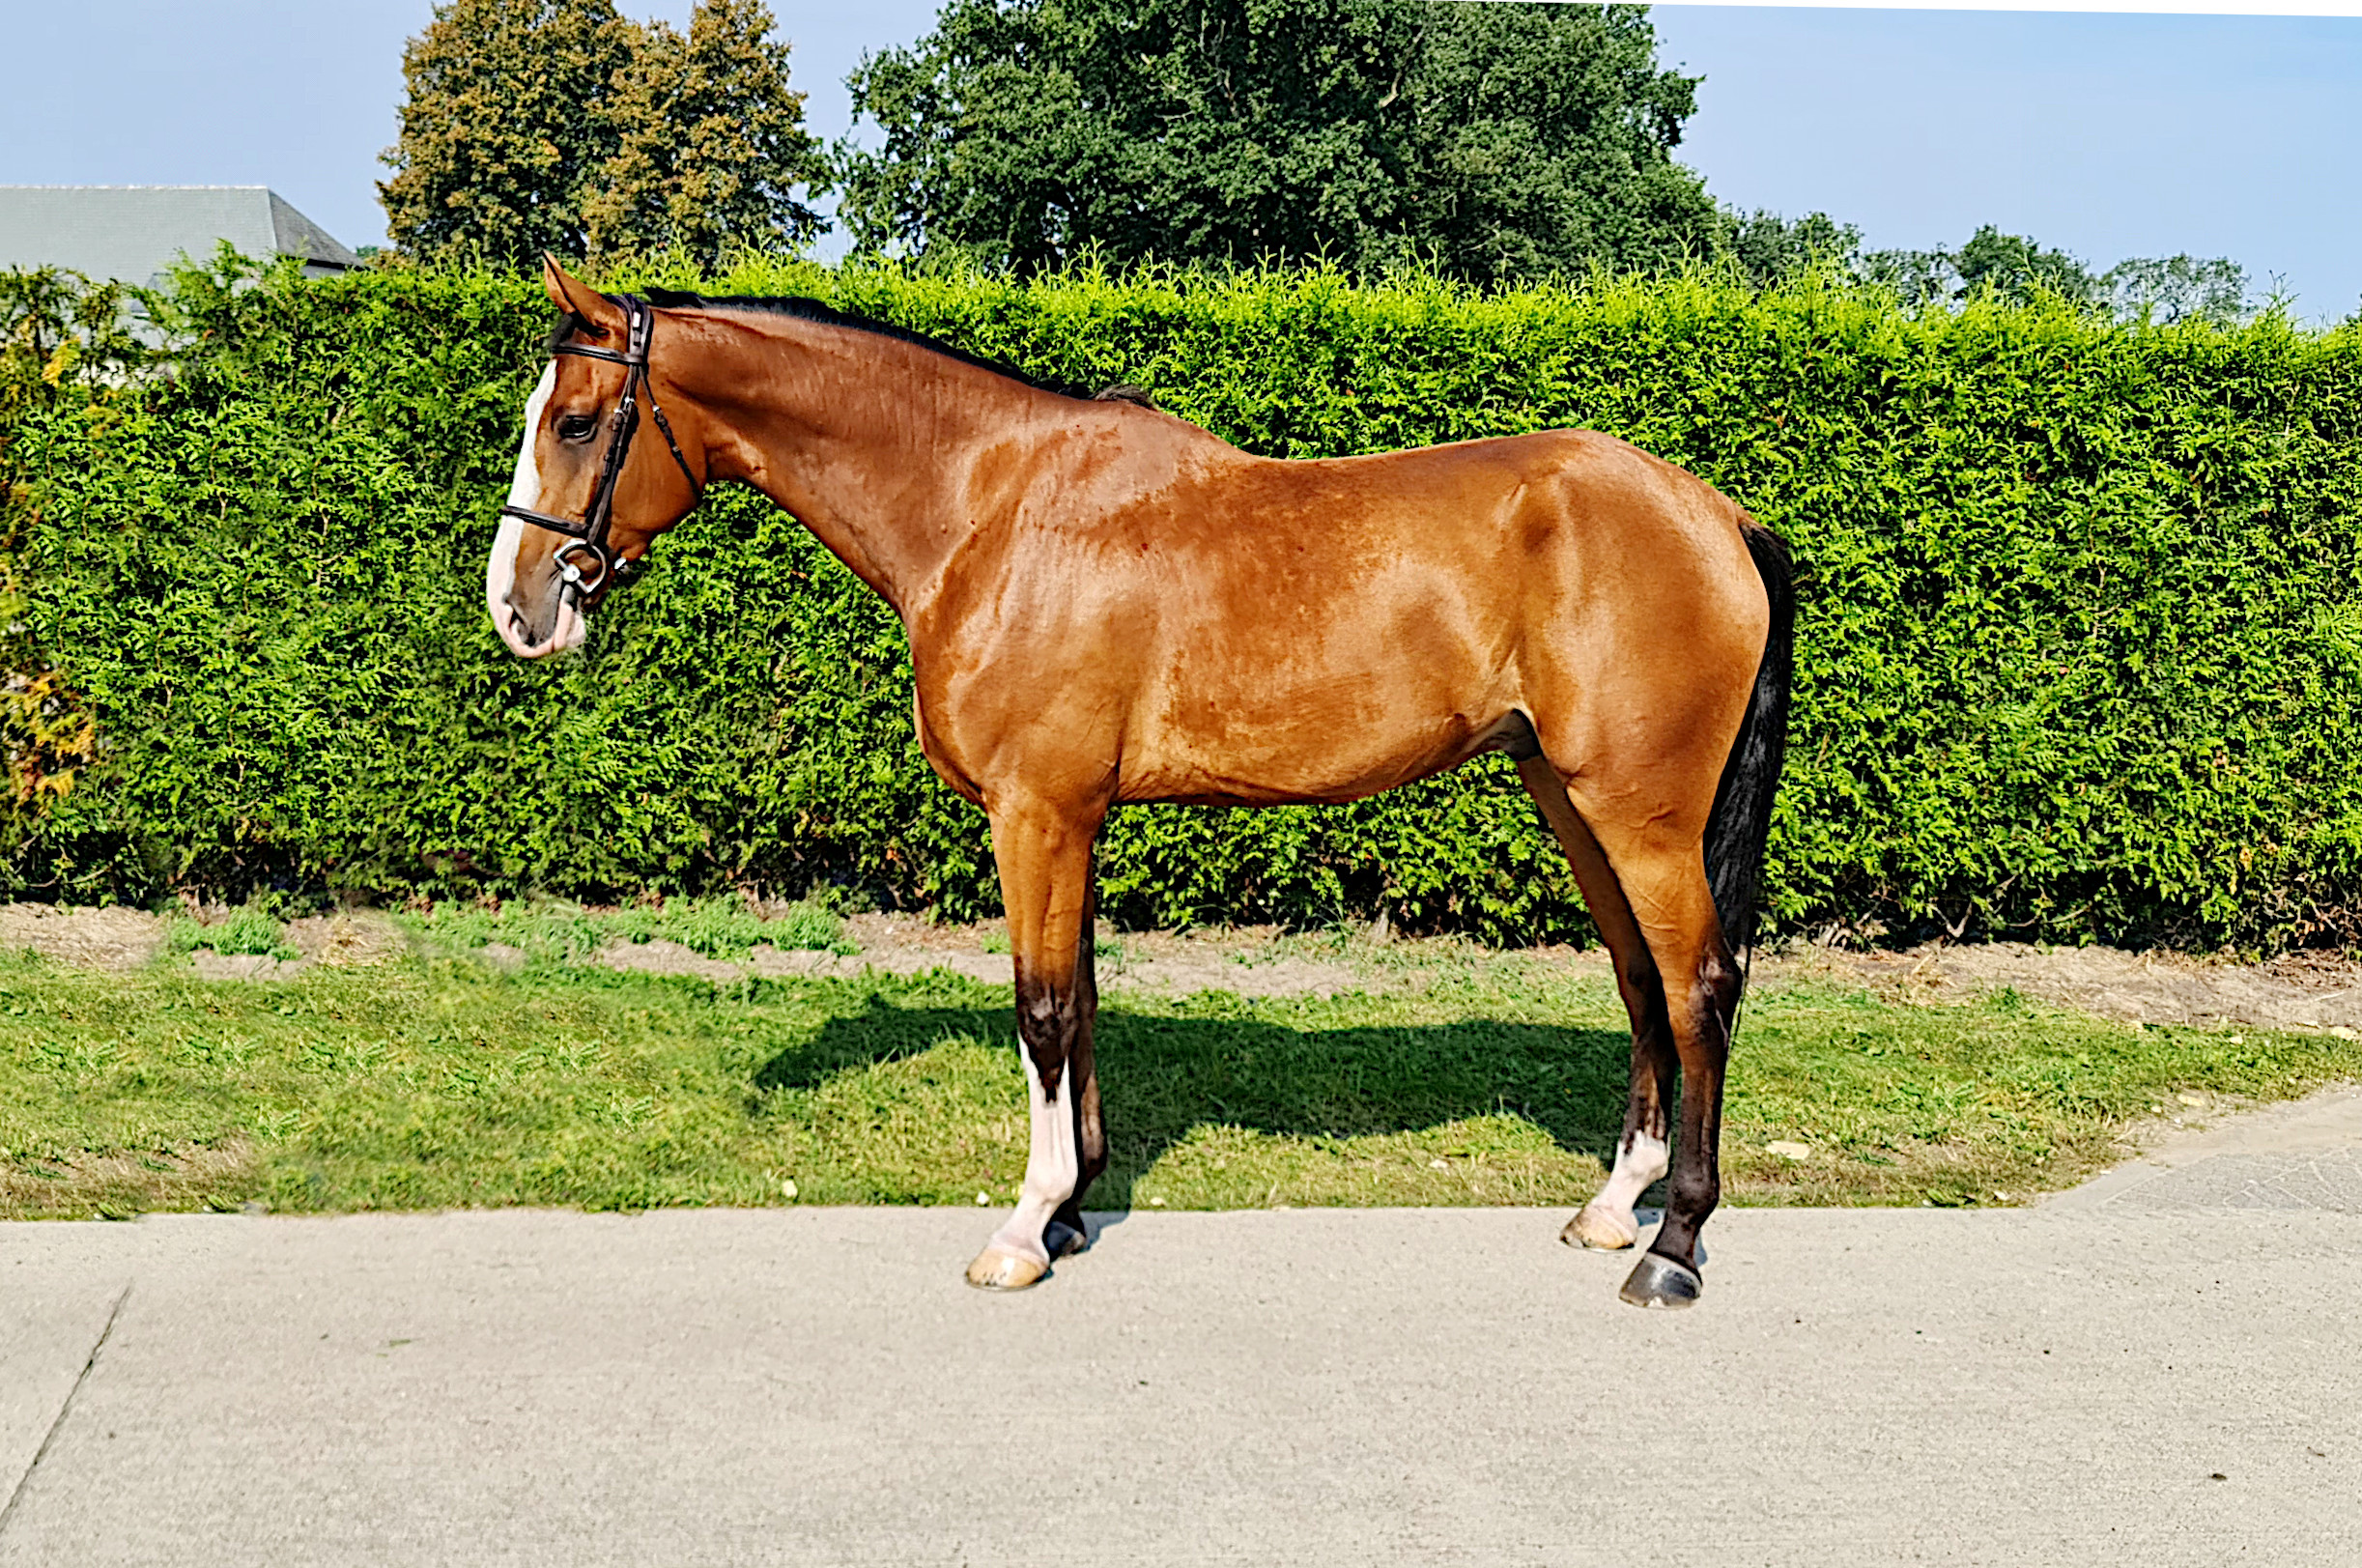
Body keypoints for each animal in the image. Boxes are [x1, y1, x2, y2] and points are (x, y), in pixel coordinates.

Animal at [489, 256, 1793, 1310]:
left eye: (579, 420)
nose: (519, 609)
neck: (990, 512)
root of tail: (1717, 514)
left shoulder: (1035, 814)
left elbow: (1042, 1009)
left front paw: (1024, 1230)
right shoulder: (1072, 817)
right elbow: (1081, 1000)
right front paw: (1073, 1210)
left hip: (1641, 815)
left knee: (1699, 987)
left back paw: (1672, 1248)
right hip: (1573, 801)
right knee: (1641, 983)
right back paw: (1611, 1210)